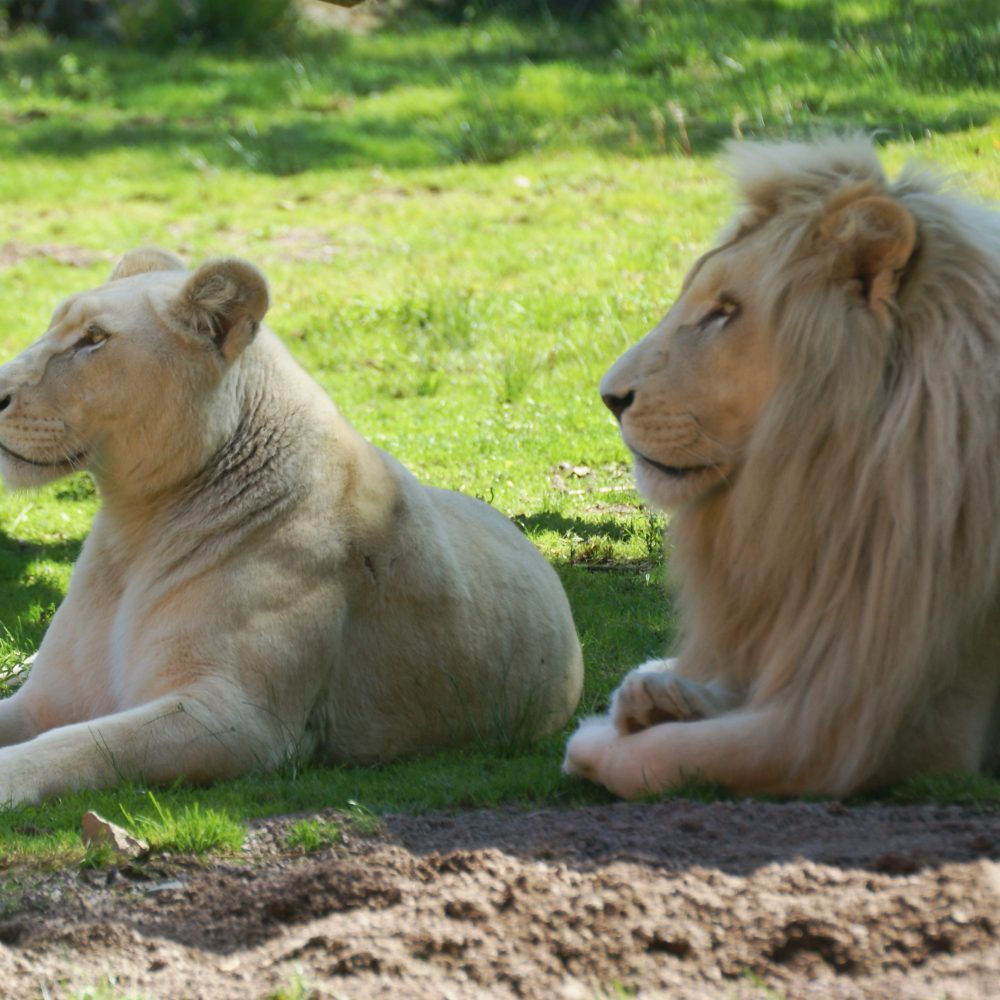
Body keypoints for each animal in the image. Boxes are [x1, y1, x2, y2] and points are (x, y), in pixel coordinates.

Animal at [0, 249, 583, 806]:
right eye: (54, 326)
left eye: (94, 339)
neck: (134, 527)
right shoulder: (54, 694)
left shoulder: (244, 719)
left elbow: (89, 743)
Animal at [564, 136, 1000, 798]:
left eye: (725, 312)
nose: (610, 398)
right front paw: (659, 694)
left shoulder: (881, 724)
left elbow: (668, 757)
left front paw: (600, 736)